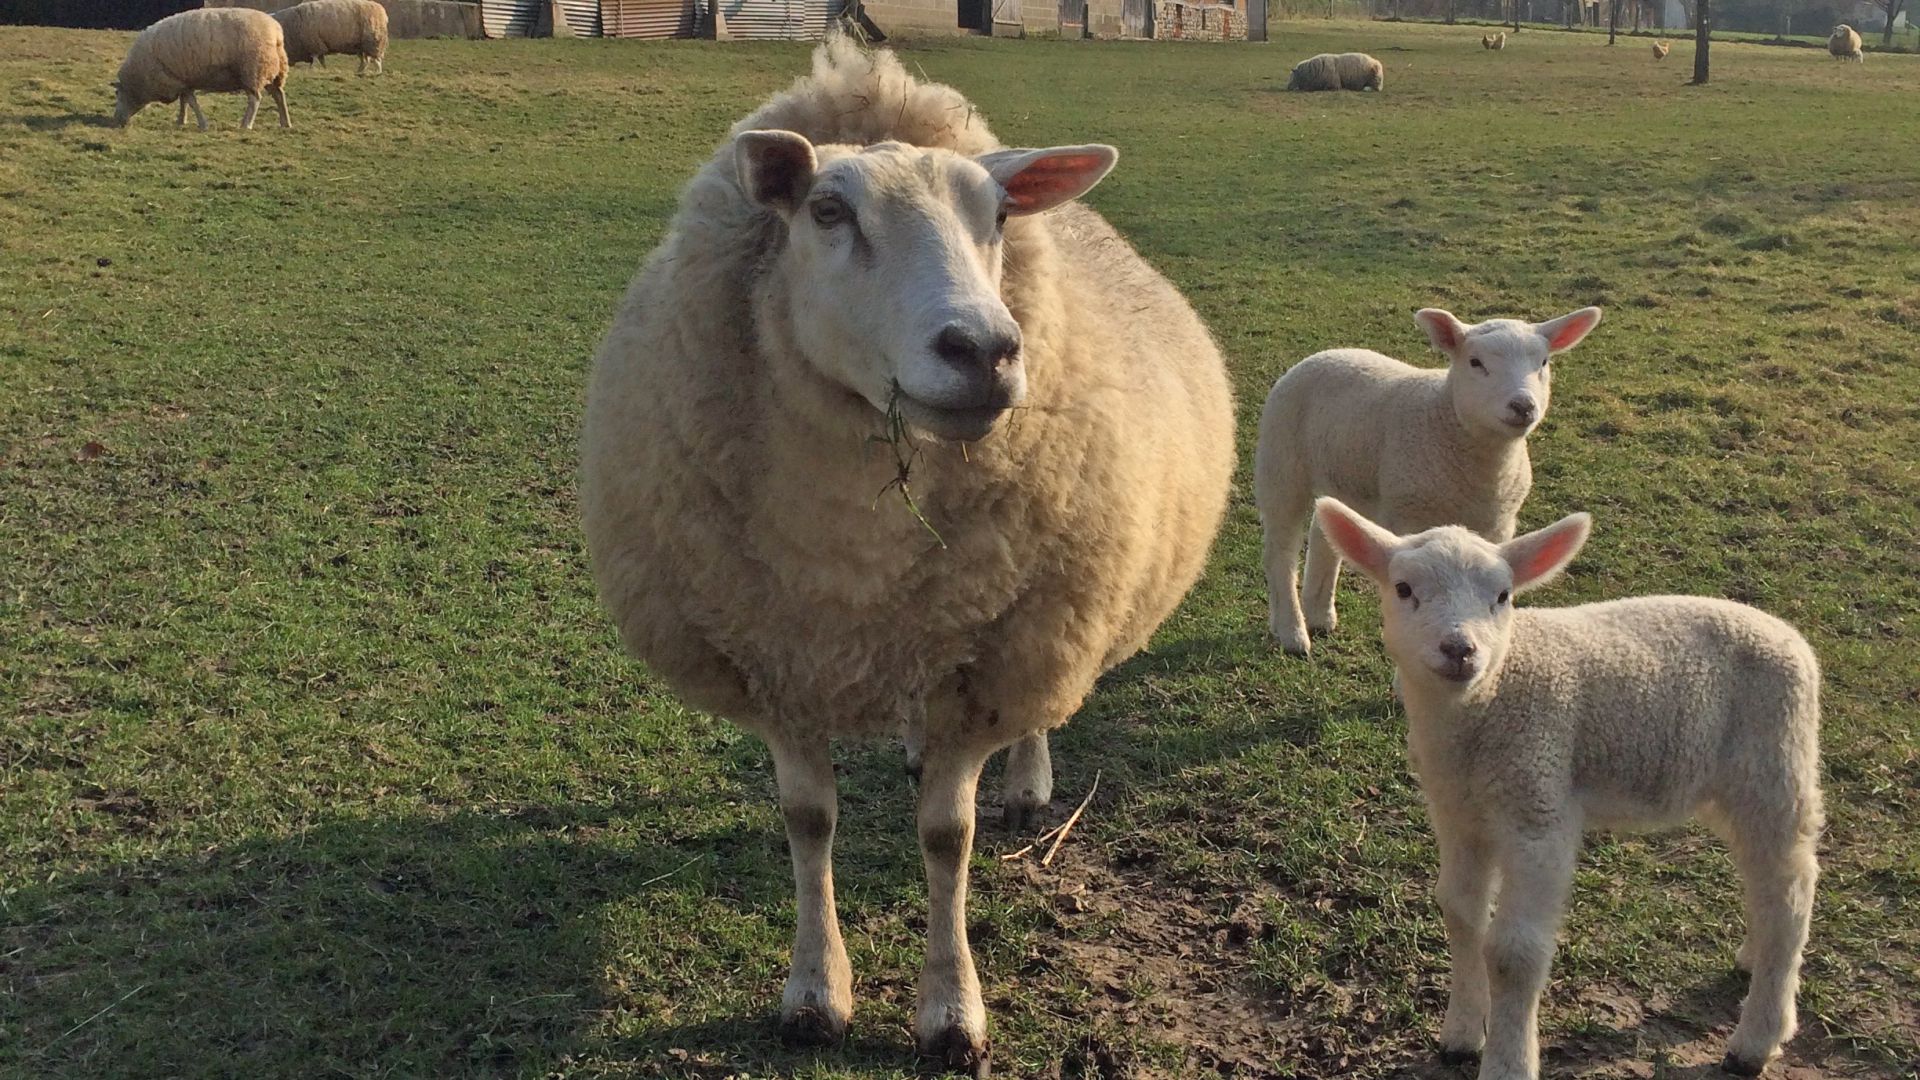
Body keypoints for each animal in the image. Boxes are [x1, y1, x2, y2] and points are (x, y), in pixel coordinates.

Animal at [112, 6, 289, 129]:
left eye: (117, 94)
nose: (117, 121)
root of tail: (276, 32)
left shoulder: (174, 80)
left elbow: (191, 102)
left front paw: (202, 124)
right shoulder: (182, 81)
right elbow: (184, 102)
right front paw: (181, 120)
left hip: (253, 70)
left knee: (255, 100)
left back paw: (246, 124)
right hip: (273, 70)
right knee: (279, 95)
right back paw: (285, 123)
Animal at [576, 35, 1236, 1068]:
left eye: (998, 214)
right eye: (828, 211)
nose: (986, 351)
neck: (859, 562)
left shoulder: (985, 663)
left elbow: (946, 838)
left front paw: (951, 1009)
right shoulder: (778, 661)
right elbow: (809, 821)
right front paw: (816, 991)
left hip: (1042, 620)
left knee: (1031, 721)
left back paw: (1028, 782)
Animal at [1259, 307, 1605, 653]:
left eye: (1543, 362)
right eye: (1475, 362)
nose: (1523, 406)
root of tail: (1329, 352)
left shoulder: (1499, 526)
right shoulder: (1412, 519)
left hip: (1344, 478)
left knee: (1324, 534)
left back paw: (1320, 614)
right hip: (1281, 466)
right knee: (1281, 551)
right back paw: (1292, 631)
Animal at [1313, 495, 1820, 1076]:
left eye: (1503, 596)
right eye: (1403, 589)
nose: (1460, 649)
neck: (1487, 704)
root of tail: (1788, 634)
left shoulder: (1538, 807)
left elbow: (1513, 954)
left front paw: (1508, 1063)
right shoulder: (1458, 812)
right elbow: (1460, 913)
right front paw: (1461, 1033)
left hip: (1775, 764)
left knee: (1790, 890)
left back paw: (1757, 1038)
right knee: (1763, 885)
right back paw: (1753, 960)